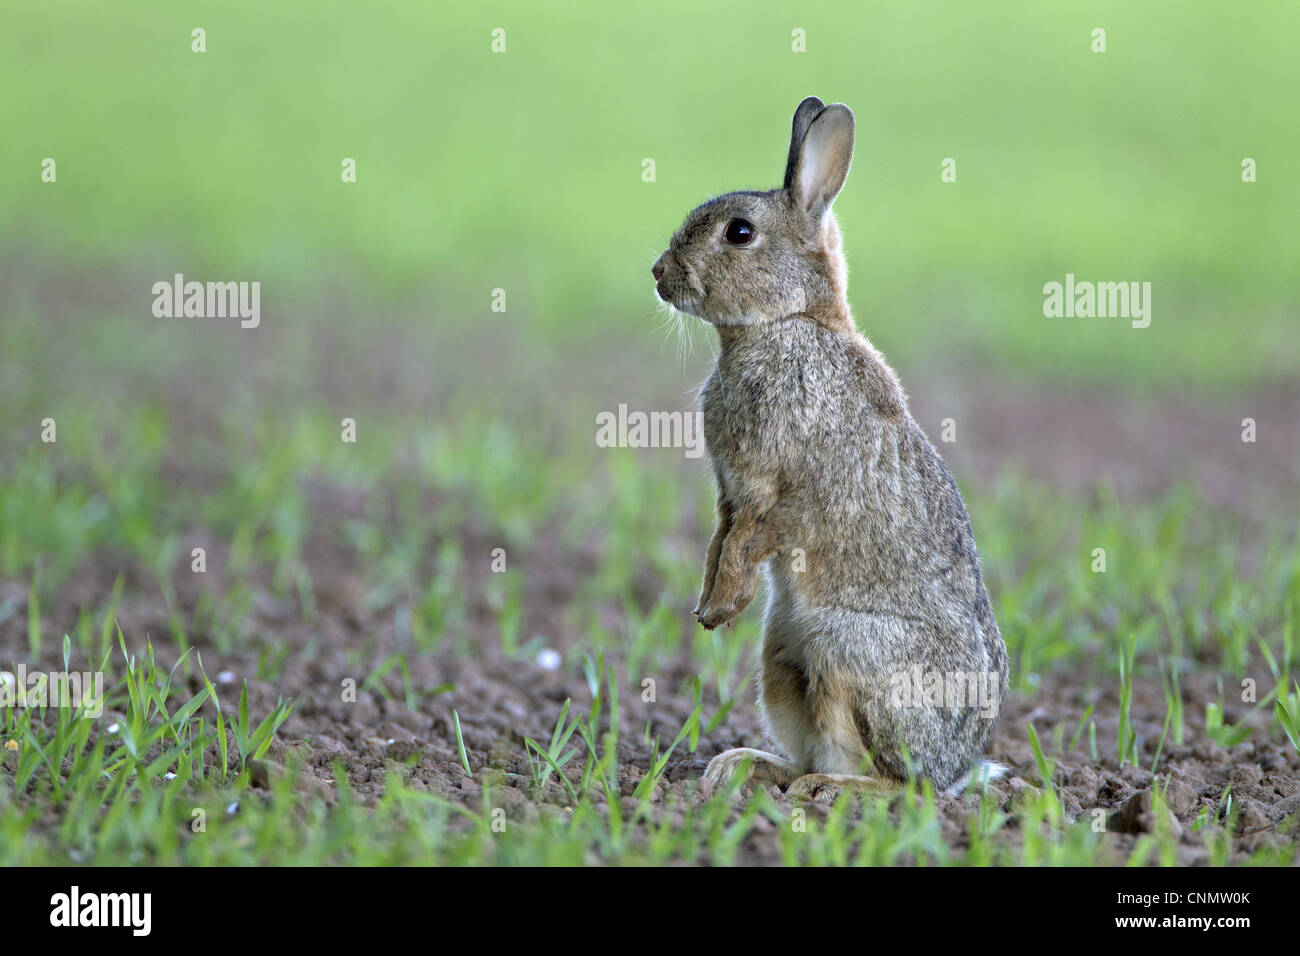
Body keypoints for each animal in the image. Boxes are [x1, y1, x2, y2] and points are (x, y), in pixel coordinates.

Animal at [650, 97, 1008, 799]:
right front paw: (705, 608)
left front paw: (720, 607)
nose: (658, 274)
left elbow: (746, 541)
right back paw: (743, 767)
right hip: (780, 655)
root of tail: (958, 767)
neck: (788, 323)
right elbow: (718, 539)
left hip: (847, 651)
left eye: (739, 233)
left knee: (897, 783)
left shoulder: (767, 487)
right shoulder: (729, 492)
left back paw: (827, 790)